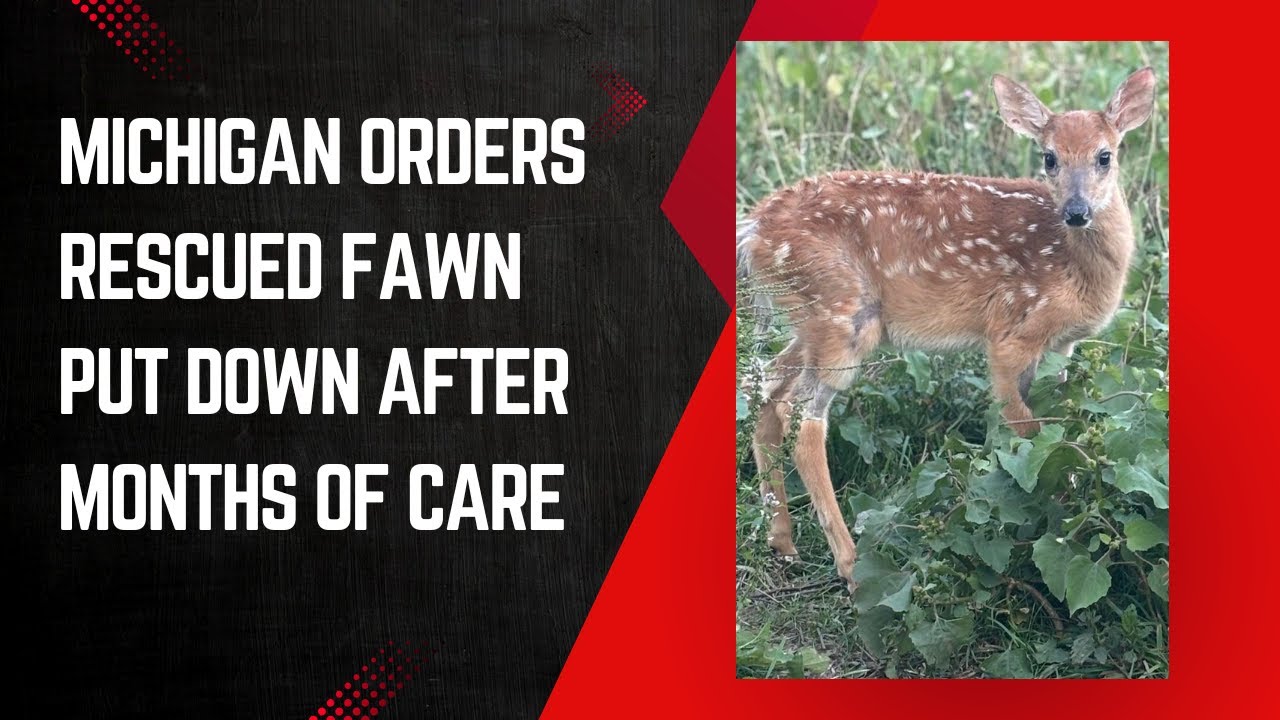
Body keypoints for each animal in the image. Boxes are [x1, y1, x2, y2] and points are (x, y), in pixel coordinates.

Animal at [736, 68, 1157, 592]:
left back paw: (783, 541)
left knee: (764, 385)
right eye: (1049, 157)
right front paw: (1059, 515)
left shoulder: (1064, 346)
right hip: (842, 311)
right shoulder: (1010, 333)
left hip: (811, 319)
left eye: (1106, 155)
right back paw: (850, 565)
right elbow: (1030, 433)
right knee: (800, 415)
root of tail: (754, 229)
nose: (1077, 211)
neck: (1077, 265)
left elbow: (1060, 425)